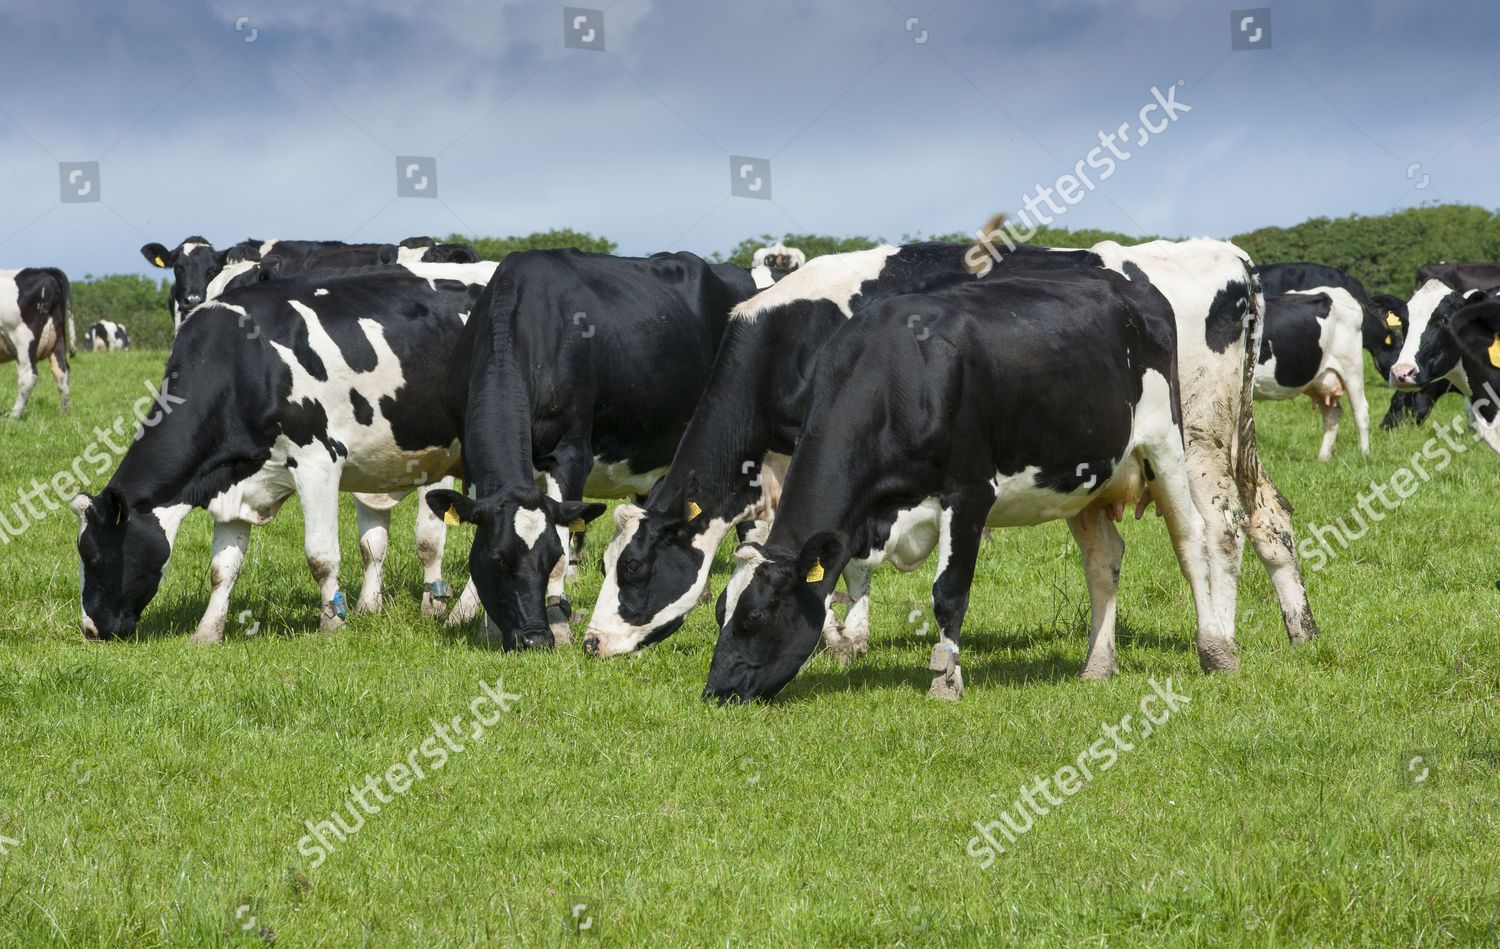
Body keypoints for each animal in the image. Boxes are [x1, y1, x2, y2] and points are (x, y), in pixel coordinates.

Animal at [1, 267, 72, 418]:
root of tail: (43, 271)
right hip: (58, 338)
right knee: (62, 372)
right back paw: (64, 413)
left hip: (23, 338)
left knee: (28, 375)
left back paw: (13, 416)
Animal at [71, 261, 497, 642]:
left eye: (93, 555)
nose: (90, 630)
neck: (243, 361)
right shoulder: (235, 479)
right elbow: (223, 568)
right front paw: (206, 633)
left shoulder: (318, 461)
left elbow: (321, 556)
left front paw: (332, 627)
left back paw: (462, 614)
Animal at [426, 249, 776, 650]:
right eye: (499, 559)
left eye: (550, 559)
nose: (535, 638)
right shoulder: (469, 457)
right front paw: (473, 617)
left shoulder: (571, 453)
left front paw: (558, 619)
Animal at [703, 267, 1227, 702]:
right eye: (720, 612)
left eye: (754, 616)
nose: (714, 691)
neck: (899, 375)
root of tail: (1134, 287)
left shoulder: (971, 492)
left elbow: (948, 592)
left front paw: (945, 682)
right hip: (1087, 477)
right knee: (1103, 561)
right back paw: (1097, 665)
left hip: (1165, 444)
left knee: (1191, 540)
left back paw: (1216, 651)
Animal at [1254, 289, 1370, 460]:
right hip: (1319, 379)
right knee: (1332, 413)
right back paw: (1323, 457)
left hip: (1352, 368)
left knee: (1360, 410)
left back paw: (1364, 455)